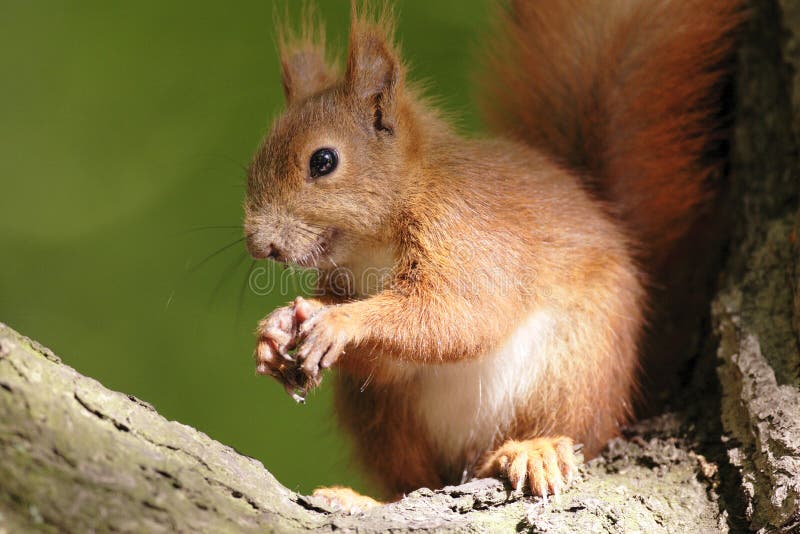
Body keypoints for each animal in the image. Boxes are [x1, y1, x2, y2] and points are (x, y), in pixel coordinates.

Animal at [244, 0, 743, 512]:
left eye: (323, 161)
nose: (259, 244)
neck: (374, 242)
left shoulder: (467, 235)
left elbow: (457, 316)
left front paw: (338, 322)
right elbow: (397, 356)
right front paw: (277, 328)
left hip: (575, 366)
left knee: (572, 428)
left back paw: (536, 449)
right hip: (382, 416)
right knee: (413, 480)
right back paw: (361, 500)